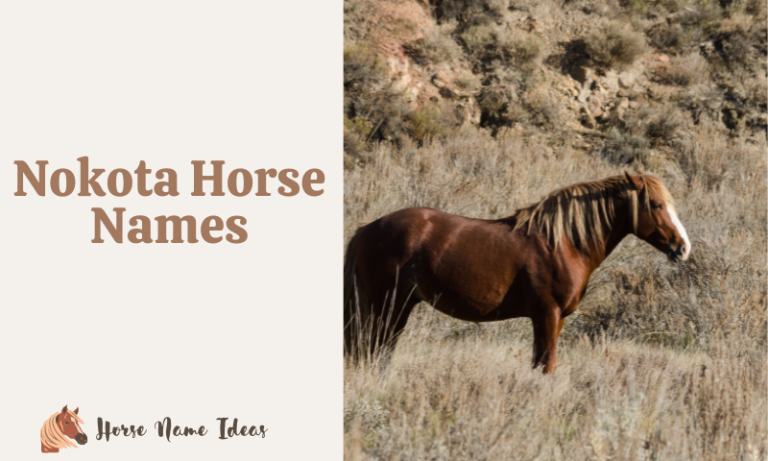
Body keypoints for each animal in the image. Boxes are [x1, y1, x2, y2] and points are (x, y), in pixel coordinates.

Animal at [343, 171, 691, 374]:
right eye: (656, 204)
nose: (683, 247)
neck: (563, 242)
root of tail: (367, 228)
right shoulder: (547, 315)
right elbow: (546, 366)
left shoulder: (555, 319)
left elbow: (539, 365)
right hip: (387, 305)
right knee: (373, 350)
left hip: (399, 305)